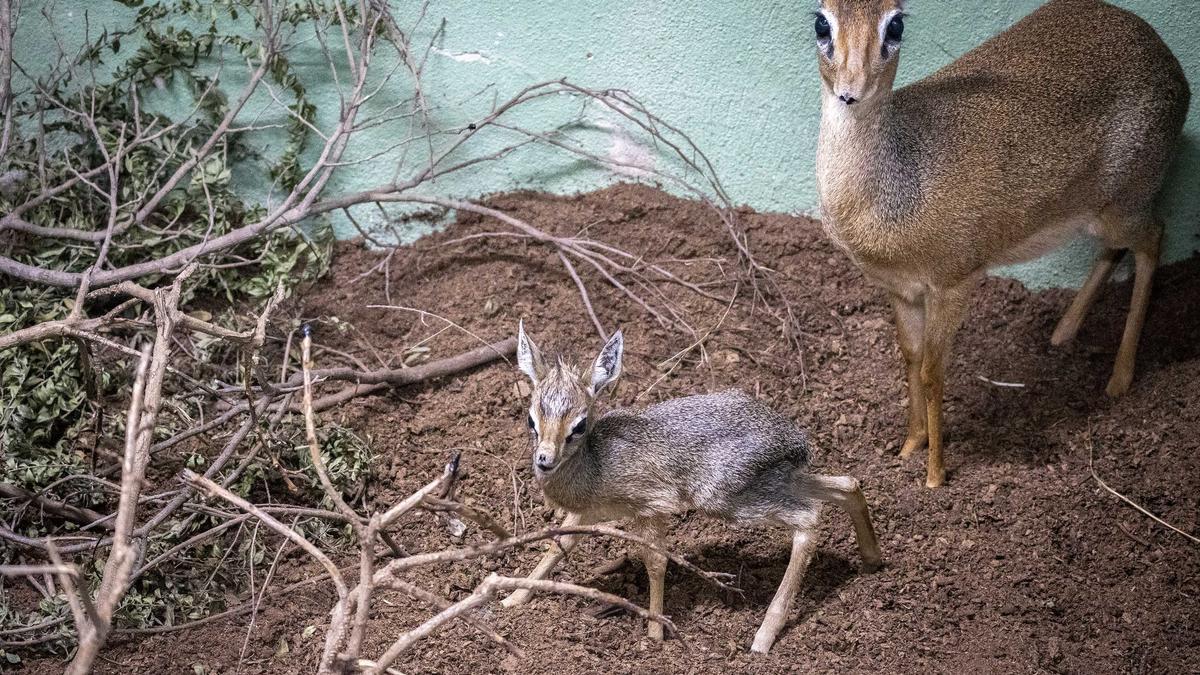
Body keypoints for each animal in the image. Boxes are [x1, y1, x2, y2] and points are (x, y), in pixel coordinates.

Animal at [499, 322, 882, 653]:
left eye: (578, 426)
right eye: (531, 418)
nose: (545, 459)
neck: (595, 464)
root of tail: (795, 440)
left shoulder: (653, 507)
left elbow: (655, 562)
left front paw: (654, 632)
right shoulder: (589, 511)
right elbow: (557, 545)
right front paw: (512, 598)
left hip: (727, 499)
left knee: (808, 518)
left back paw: (763, 636)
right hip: (777, 479)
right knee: (845, 485)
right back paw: (873, 560)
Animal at [813, 0, 1190, 487]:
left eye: (895, 25)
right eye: (821, 22)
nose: (850, 91)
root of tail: (1169, 60)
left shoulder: (954, 281)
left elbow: (933, 372)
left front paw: (935, 474)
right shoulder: (901, 288)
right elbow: (910, 358)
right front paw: (910, 445)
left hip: (1123, 204)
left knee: (1155, 236)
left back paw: (1120, 378)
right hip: (1094, 216)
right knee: (1119, 249)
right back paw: (1063, 332)